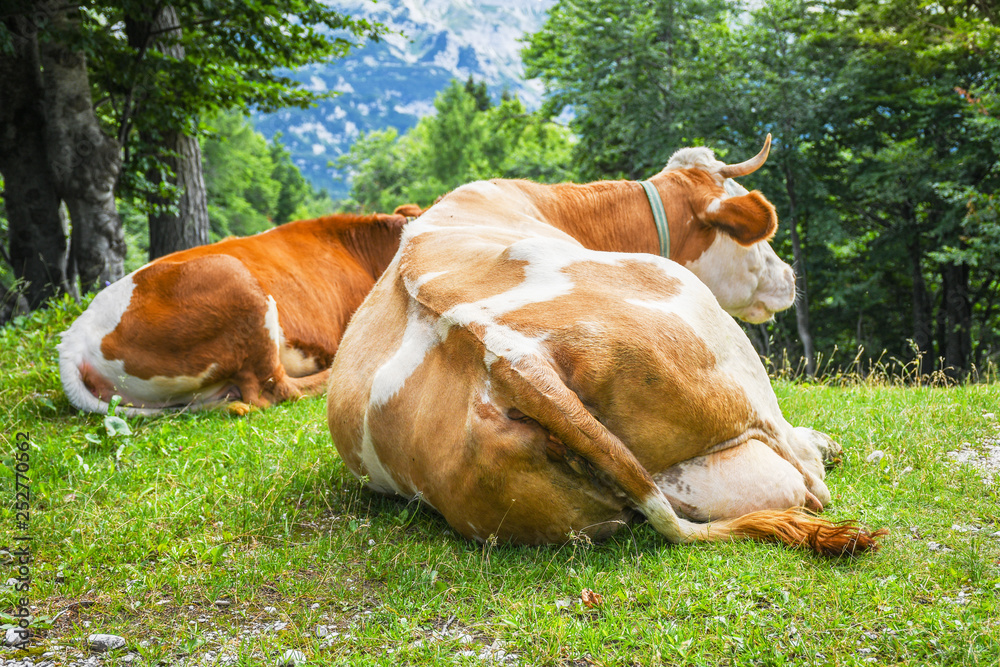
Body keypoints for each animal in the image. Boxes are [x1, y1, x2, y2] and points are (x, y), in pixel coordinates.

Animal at [325, 138, 886, 555]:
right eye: (756, 241)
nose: (789, 276)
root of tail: (511, 360)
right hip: (726, 350)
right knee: (806, 477)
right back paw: (824, 446)